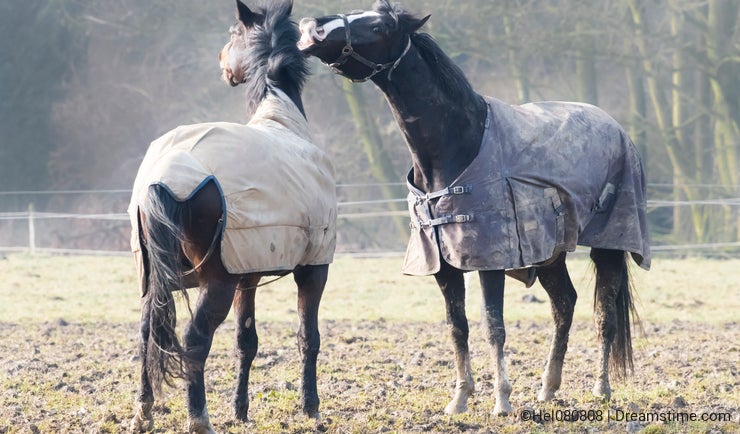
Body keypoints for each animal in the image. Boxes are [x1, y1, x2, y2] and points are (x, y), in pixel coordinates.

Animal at [128, 1, 336, 432]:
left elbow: (246, 342)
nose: (222, 62)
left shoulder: (248, 276)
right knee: (195, 340)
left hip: (157, 280)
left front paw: (240, 410)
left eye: (232, 34)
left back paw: (144, 413)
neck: (283, 119)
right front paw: (311, 408)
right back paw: (198, 418)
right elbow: (308, 337)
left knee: (147, 332)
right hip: (215, 284)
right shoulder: (314, 269)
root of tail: (165, 173)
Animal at [298, 0, 650, 417]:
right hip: (551, 255)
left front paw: (502, 400)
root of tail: (616, 128)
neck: (455, 146)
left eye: (379, 25)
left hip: (609, 246)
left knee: (604, 315)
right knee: (565, 305)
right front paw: (460, 398)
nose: (313, 27)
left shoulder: (490, 261)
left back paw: (601, 388)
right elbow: (458, 327)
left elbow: (493, 327)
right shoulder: (443, 266)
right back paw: (548, 388)